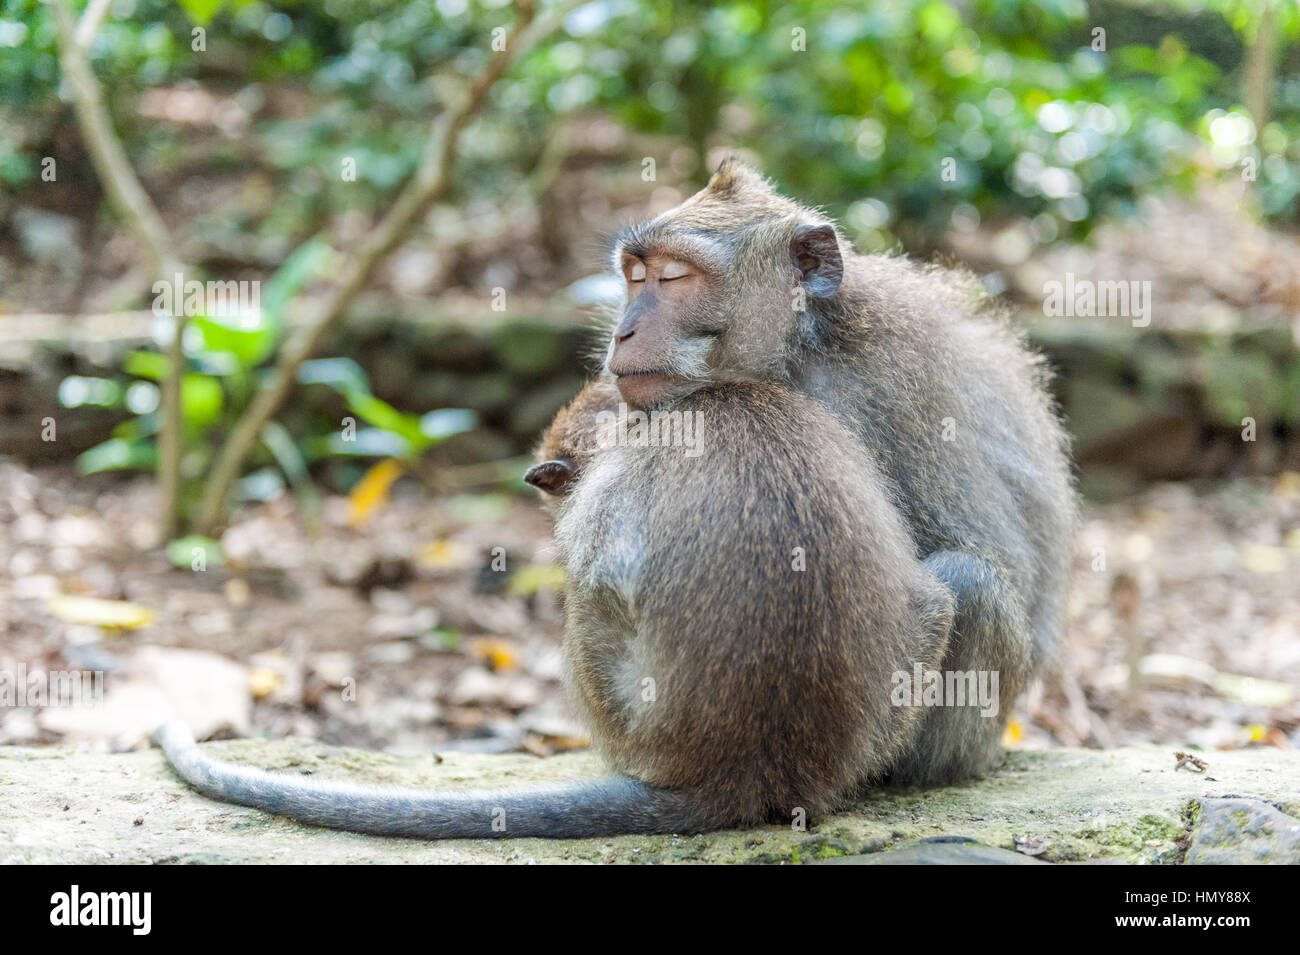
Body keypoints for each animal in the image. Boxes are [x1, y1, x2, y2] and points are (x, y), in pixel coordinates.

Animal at [155, 375, 957, 837]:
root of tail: (756, 771)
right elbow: (928, 591)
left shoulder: (610, 495)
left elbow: (600, 577)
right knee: (939, 599)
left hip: (633, 723)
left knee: (583, 606)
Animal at [600, 158, 1076, 784]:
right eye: (635, 276)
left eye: (674, 277)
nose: (622, 333)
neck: (799, 351)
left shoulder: (898, 386)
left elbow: (999, 561)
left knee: (972, 583)